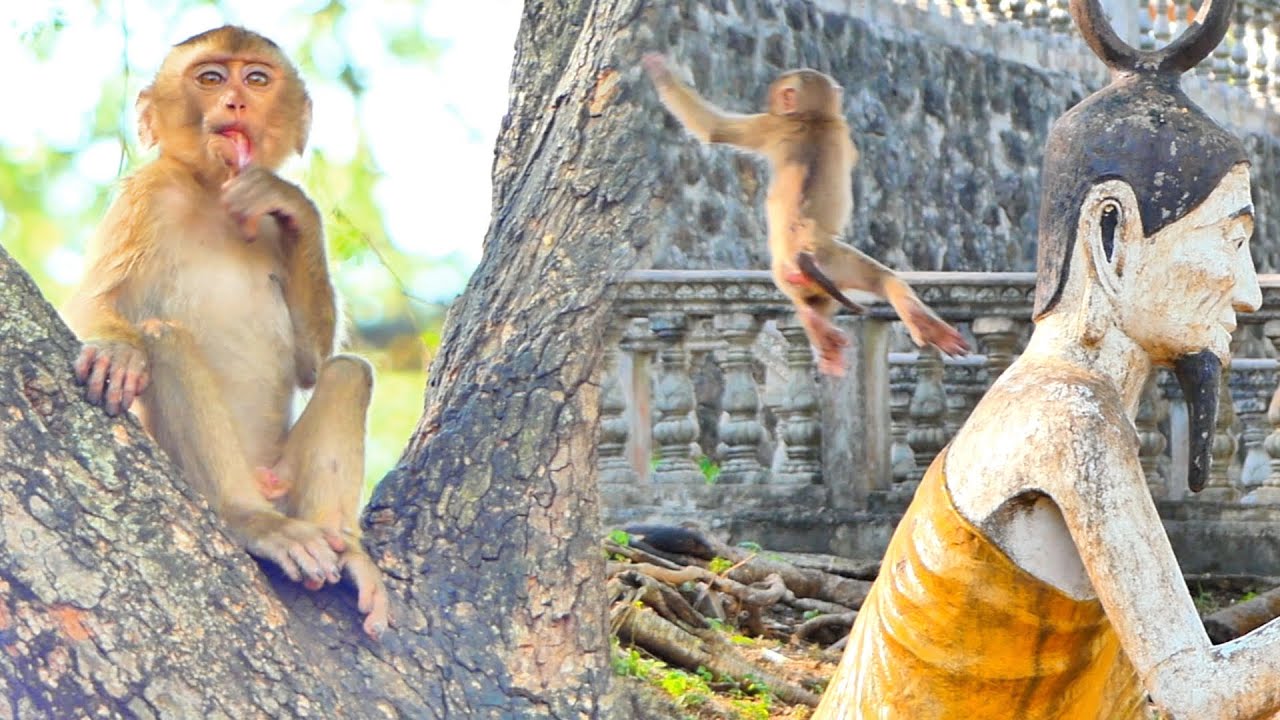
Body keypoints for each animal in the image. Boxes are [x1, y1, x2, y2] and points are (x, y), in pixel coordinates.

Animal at [63, 26, 389, 639]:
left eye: (256, 79)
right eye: (211, 78)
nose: (235, 102)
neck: (210, 190)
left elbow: (312, 362)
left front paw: (291, 204)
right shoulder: (147, 191)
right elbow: (94, 300)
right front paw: (115, 351)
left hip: (284, 476)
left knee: (348, 373)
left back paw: (347, 549)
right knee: (164, 338)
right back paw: (248, 518)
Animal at [642, 54, 969, 376]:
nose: (769, 99)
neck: (812, 117)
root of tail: (800, 250)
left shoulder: (773, 124)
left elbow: (714, 128)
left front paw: (660, 73)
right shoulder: (797, 125)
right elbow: (715, 128)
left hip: (807, 267)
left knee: (839, 291)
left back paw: (823, 323)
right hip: (830, 263)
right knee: (879, 282)